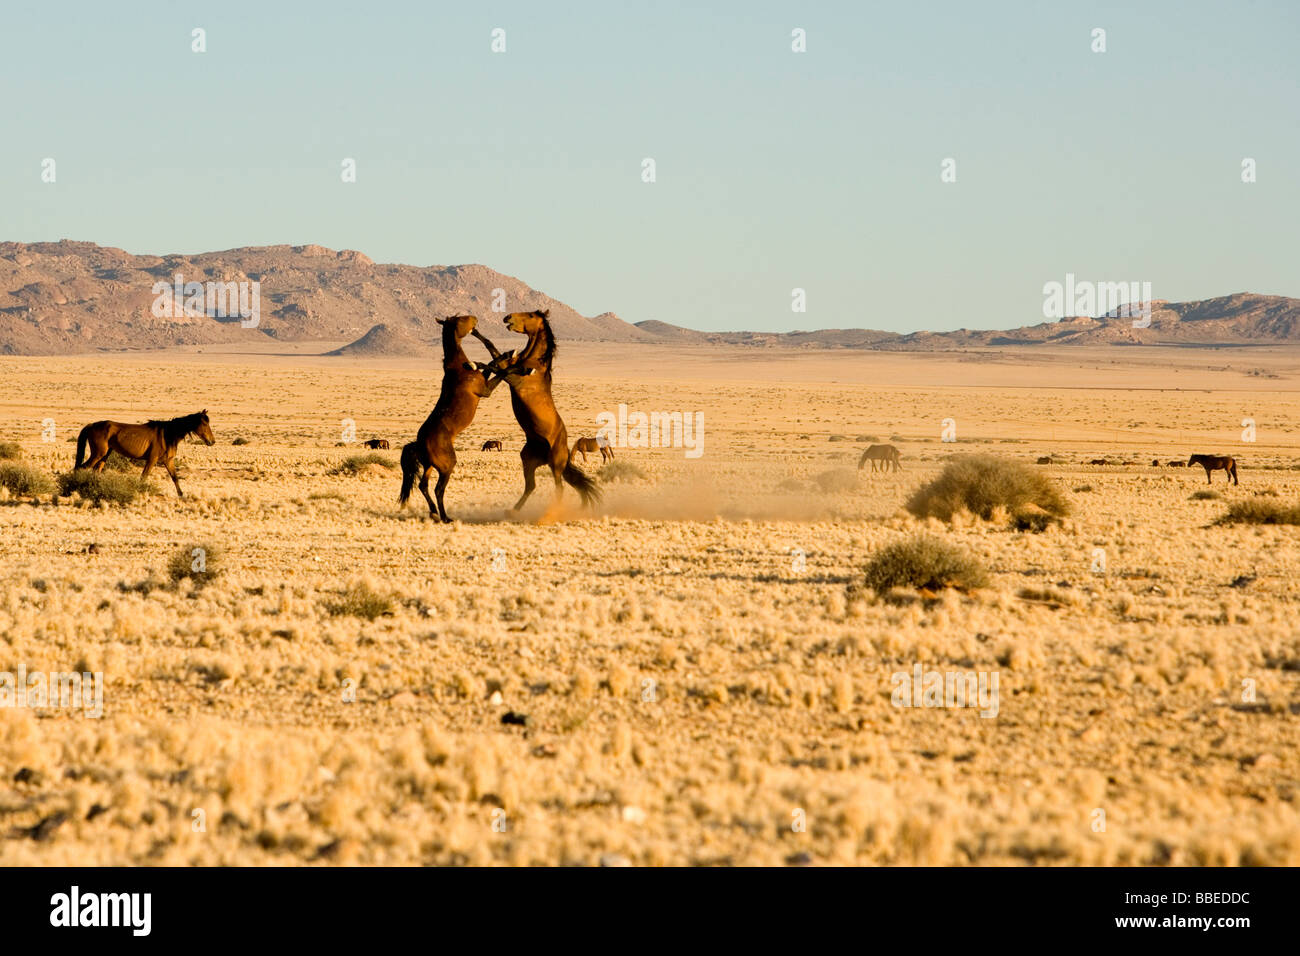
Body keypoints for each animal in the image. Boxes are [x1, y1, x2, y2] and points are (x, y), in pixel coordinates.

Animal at [74, 410, 215, 497]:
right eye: (204, 423)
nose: (212, 441)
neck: (168, 434)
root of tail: (91, 425)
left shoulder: (168, 461)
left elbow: (175, 477)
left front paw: (182, 495)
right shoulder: (152, 459)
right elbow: (144, 476)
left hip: (104, 455)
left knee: (95, 471)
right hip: (98, 454)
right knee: (81, 467)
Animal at [398, 316, 503, 522]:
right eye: (460, 319)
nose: (475, 320)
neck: (458, 367)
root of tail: (419, 443)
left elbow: (490, 363)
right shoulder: (485, 390)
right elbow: (498, 370)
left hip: (429, 465)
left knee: (423, 485)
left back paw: (433, 512)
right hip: (447, 466)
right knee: (438, 489)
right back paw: (445, 517)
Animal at [475, 309, 599, 516]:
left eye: (531, 316)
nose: (507, 317)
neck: (533, 362)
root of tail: (565, 447)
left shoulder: (515, 380)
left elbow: (499, 366)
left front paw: (479, 364)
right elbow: (491, 347)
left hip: (556, 464)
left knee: (559, 488)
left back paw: (550, 513)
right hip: (528, 460)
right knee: (531, 486)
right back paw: (513, 511)